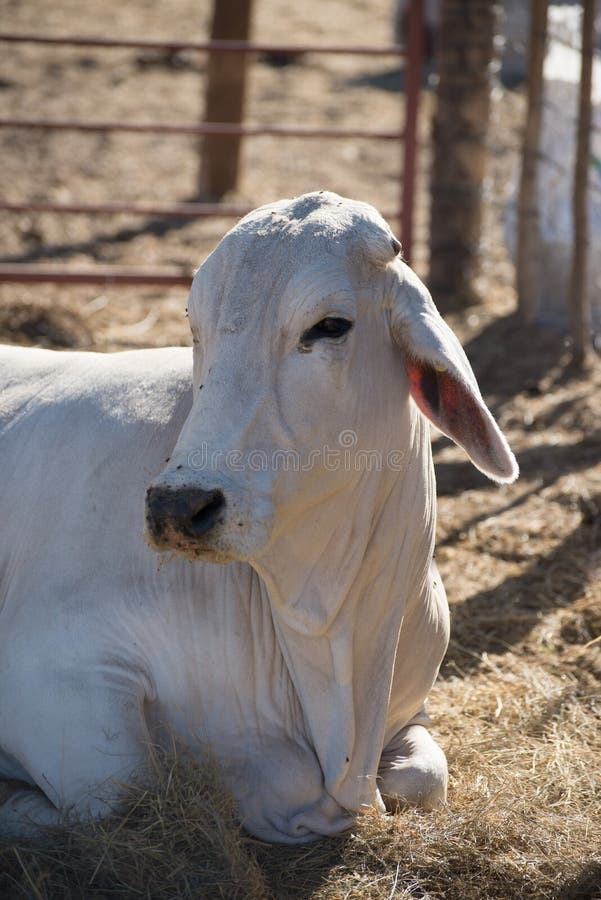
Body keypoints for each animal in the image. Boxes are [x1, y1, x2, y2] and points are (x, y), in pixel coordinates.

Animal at [0, 192, 517, 843]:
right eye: (194, 325)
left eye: (330, 326)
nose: (176, 506)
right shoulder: (48, 673)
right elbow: (124, 792)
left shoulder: (410, 711)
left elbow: (422, 780)